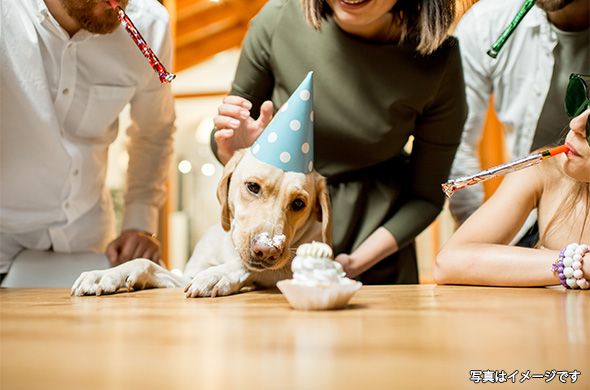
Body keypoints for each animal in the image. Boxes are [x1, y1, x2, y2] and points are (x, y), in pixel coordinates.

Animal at [70, 151, 332, 298]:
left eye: (298, 203)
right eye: (253, 187)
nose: (267, 251)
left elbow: (252, 267)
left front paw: (217, 276)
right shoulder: (185, 276)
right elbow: (145, 263)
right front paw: (106, 275)